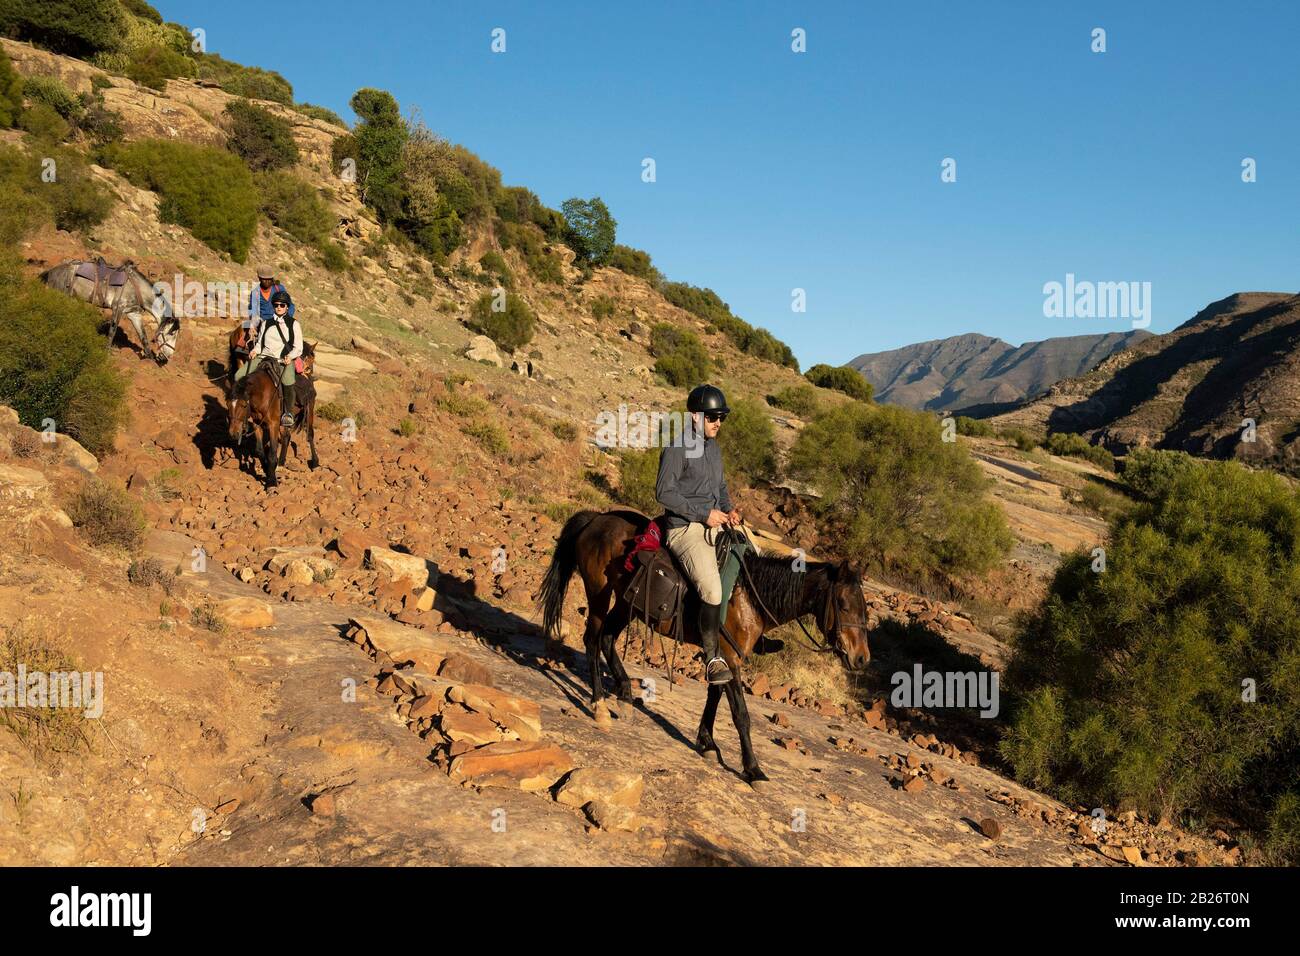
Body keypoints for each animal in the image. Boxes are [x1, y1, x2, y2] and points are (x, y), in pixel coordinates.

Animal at [41, 258, 180, 363]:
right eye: (172, 333)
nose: (167, 357)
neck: (136, 289)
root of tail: (53, 270)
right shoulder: (118, 309)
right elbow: (112, 332)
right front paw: (107, 351)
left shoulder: (134, 314)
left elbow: (143, 337)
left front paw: (149, 358)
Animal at [538, 510, 872, 783]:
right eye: (843, 605)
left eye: (865, 609)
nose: (861, 659)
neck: (750, 596)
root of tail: (595, 519)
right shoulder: (731, 658)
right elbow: (740, 714)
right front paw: (753, 770)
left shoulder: (720, 658)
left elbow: (714, 697)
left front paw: (707, 743)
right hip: (599, 593)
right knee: (593, 640)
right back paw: (599, 706)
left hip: (625, 603)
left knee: (607, 639)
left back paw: (624, 695)